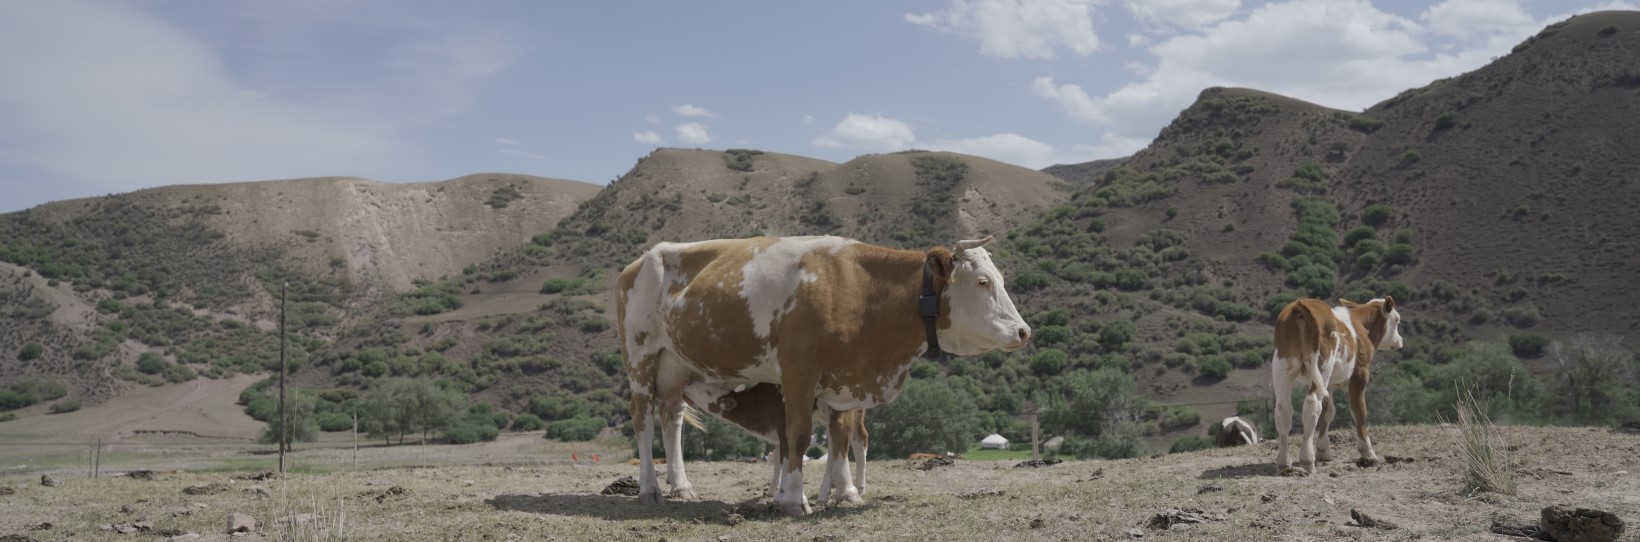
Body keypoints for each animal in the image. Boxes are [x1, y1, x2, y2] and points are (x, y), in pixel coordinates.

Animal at [682, 381, 869, 504]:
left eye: (707, 390)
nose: (688, 383)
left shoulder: (784, 424)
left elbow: (786, 458)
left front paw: (783, 493)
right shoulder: (777, 430)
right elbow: (778, 457)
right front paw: (773, 488)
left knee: (850, 440)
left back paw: (853, 487)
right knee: (844, 440)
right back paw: (834, 489)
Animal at [1271, 297, 1403, 475]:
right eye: (1397, 320)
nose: (1400, 341)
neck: (1361, 327)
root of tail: (1301, 304)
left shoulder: (1330, 384)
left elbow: (1328, 412)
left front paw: (1323, 450)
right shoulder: (1359, 376)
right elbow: (1359, 411)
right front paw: (1368, 453)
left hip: (1283, 366)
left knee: (1283, 409)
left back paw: (1284, 463)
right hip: (1322, 365)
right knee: (1312, 405)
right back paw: (1307, 461)